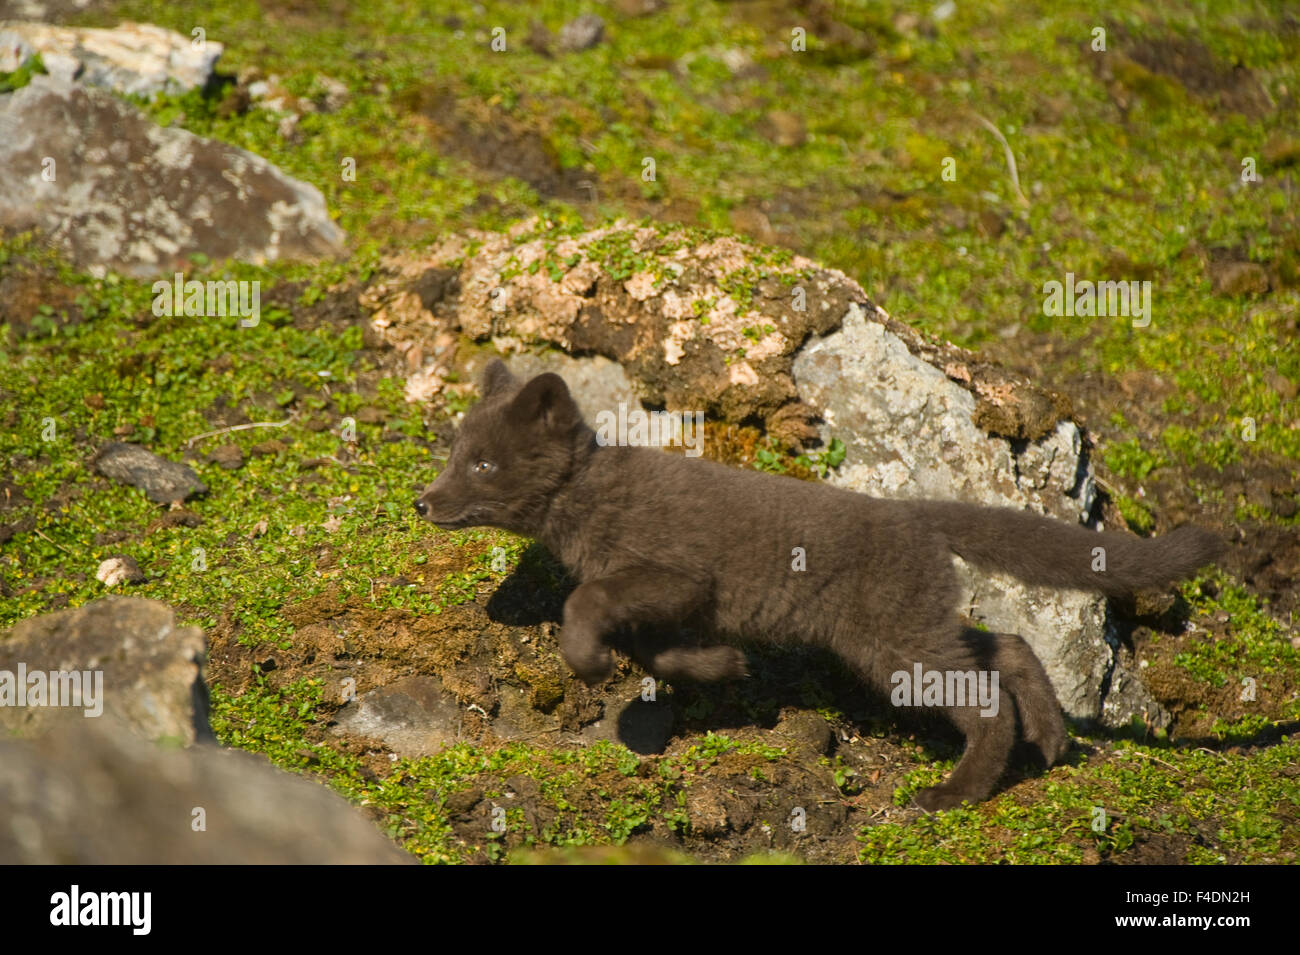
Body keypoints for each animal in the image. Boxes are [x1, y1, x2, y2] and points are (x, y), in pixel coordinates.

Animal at [413, 359, 1222, 809]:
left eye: (482, 464)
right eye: (453, 454)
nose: (423, 501)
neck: (592, 500)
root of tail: (916, 513)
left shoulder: (674, 573)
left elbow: (588, 603)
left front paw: (585, 661)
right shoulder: (676, 602)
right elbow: (659, 652)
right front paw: (723, 667)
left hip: (892, 647)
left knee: (986, 697)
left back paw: (952, 795)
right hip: (912, 626)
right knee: (1011, 645)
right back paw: (1052, 742)